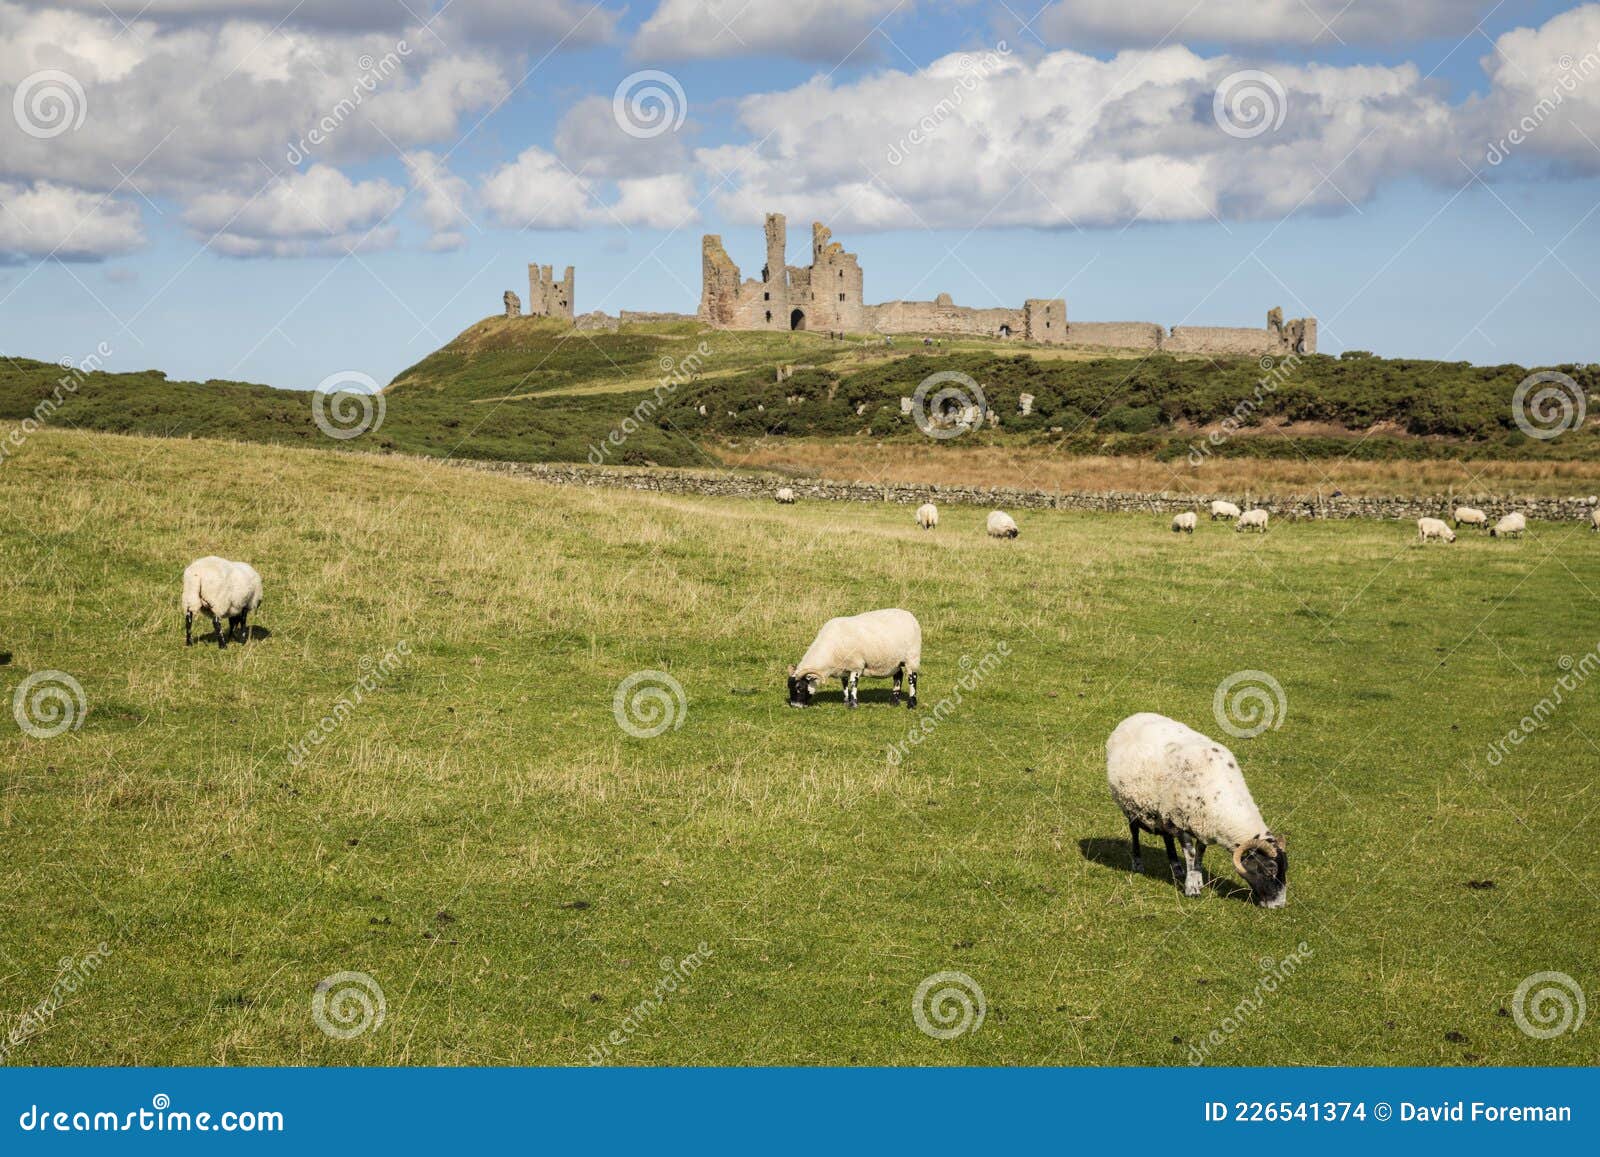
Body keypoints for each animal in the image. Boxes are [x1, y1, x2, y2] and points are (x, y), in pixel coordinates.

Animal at [786, 608, 921, 710]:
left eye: (800, 687)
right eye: (789, 686)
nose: (795, 706)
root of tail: (910, 616)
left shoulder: (856, 665)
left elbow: (853, 684)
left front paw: (853, 704)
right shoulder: (844, 668)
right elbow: (845, 685)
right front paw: (846, 701)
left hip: (912, 657)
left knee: (912, 678)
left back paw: (911, 704)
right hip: (894, 661)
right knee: (898, 676)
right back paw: (894, 701)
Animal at [1106, 712, 1288, 907]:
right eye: (1270, 869)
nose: (1279, 905)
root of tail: (1133, 717)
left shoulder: (1202, 825)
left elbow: (1200, 853)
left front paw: (1198, 879)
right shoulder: (1181, 821)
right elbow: (1191, 854)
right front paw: (1192, 888)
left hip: (1163, 811)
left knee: (1167, 836)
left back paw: (1177, 867)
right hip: (1130, 804)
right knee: (1134, 831)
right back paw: (1138, 863)